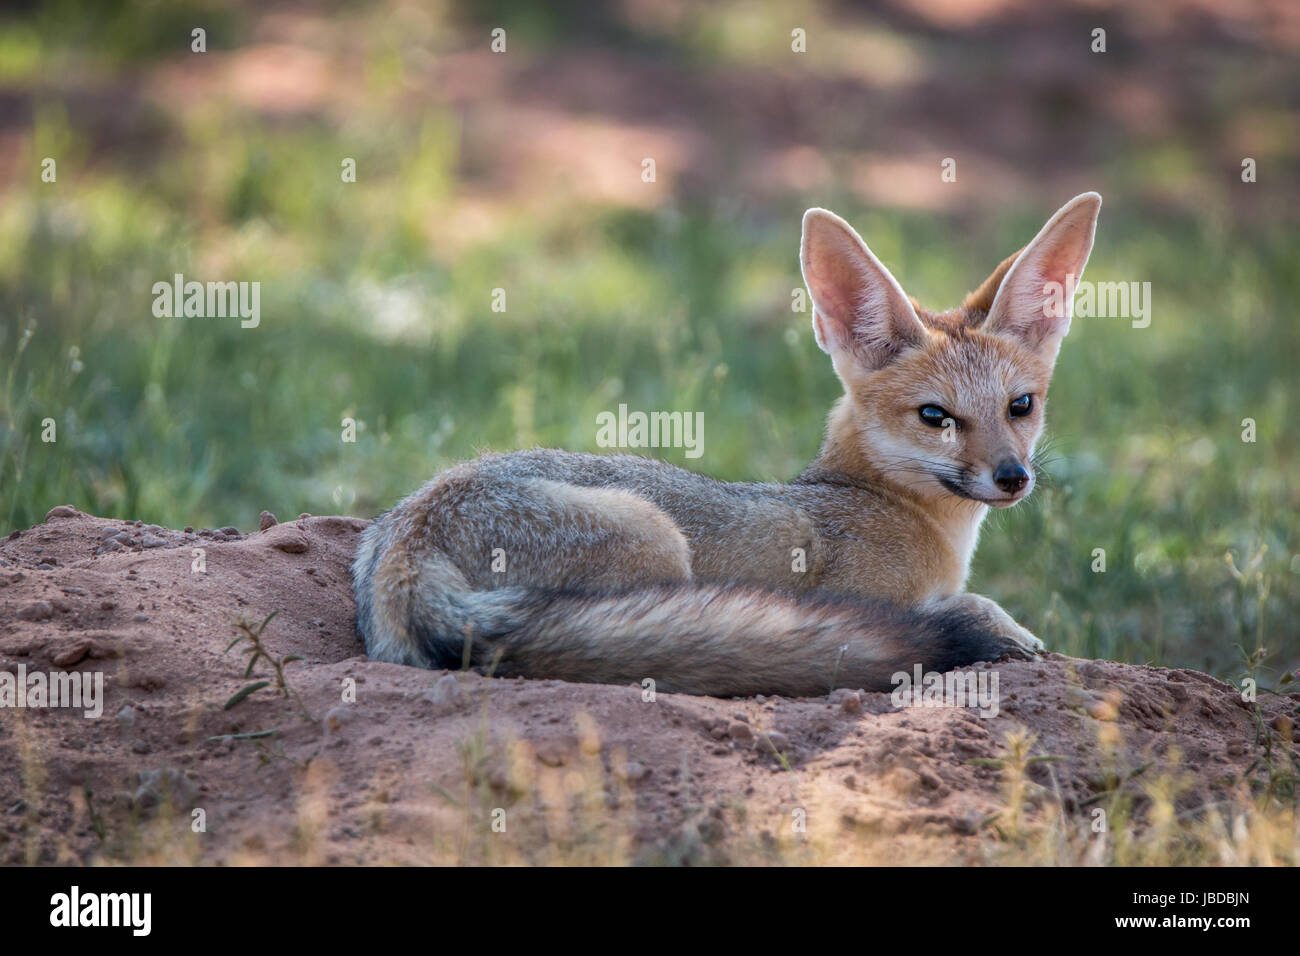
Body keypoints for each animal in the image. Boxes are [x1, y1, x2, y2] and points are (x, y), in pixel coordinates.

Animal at [352, 192, 1102, 698]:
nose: (1012, 477)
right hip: (655, 538)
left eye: (1020, 407)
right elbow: (974, 610)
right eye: (935, 416)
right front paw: (1003, 628)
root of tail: (411, 535)